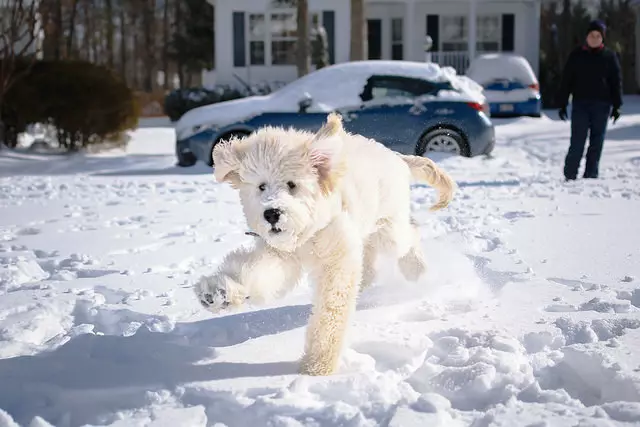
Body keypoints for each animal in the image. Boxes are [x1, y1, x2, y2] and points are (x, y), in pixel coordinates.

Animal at [195, 113, 456, 378]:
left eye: (292, 184)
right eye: (261, 186)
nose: (272, 214)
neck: (305, 234)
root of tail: (396, 156)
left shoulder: (336, 260)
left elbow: (330, 313)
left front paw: (319, 364)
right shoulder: (280, 254)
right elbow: (258, 270)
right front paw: (220, 292)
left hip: (388, 227)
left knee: (409, 233)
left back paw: (417, 269)